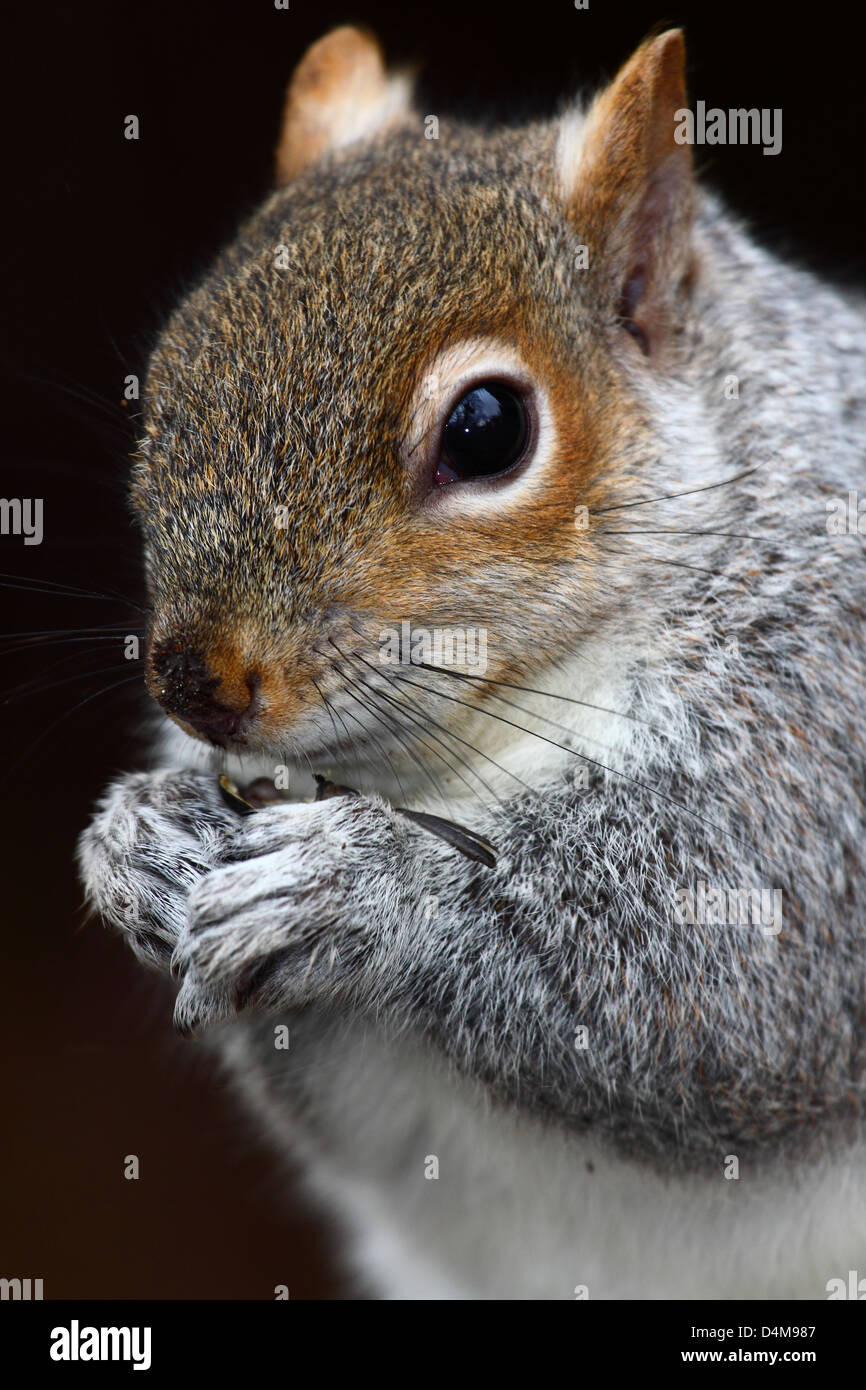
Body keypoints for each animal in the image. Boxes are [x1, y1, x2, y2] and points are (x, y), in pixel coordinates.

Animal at [78, 25, 866, 1298]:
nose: (195, 685)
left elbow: (729, 983)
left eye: (487, 428)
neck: (474, 744)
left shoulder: (817, 731)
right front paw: (136, 838)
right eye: (174, 364)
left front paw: (373, 890)